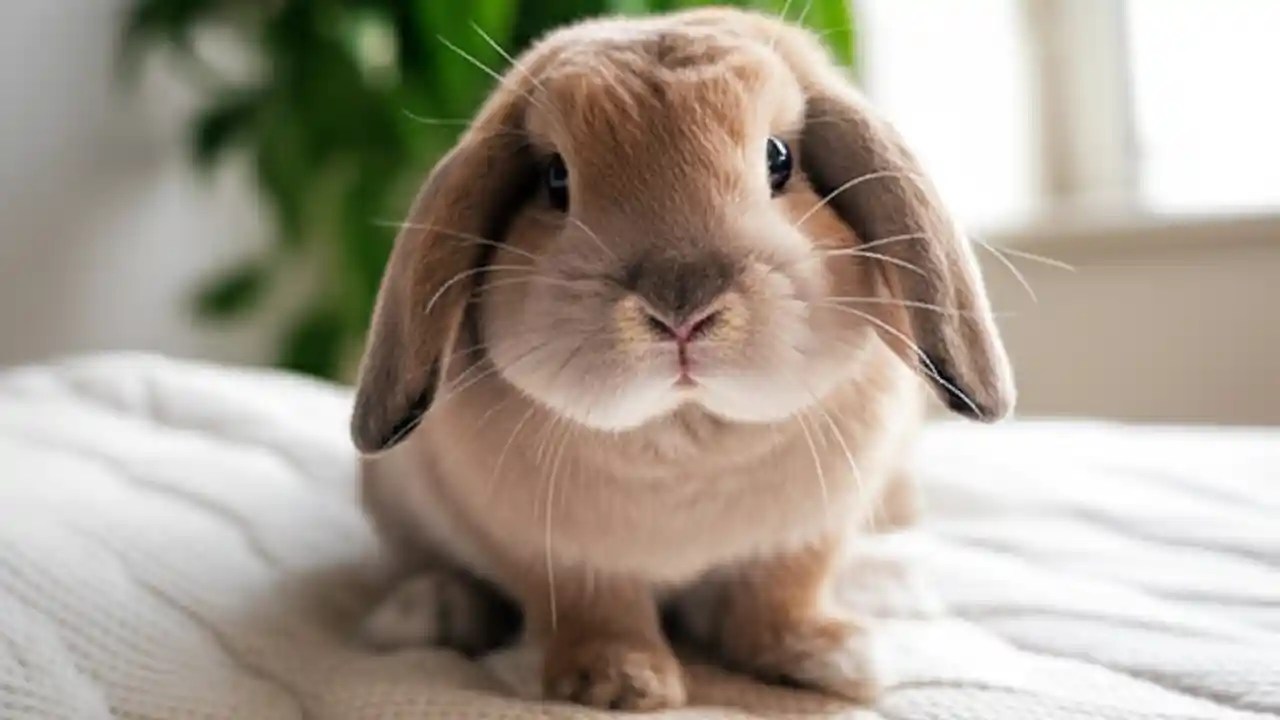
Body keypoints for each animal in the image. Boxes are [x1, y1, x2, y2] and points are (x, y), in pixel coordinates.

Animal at [350, 6, 1014, 712]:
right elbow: (594, 611)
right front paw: (616, 683)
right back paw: (426, 613)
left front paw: (830, 657)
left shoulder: (805, 535)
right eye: (556, 179)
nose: (682, 305)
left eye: (780, 160)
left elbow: (778, 598)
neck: (686, 428)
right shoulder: (558, 558)